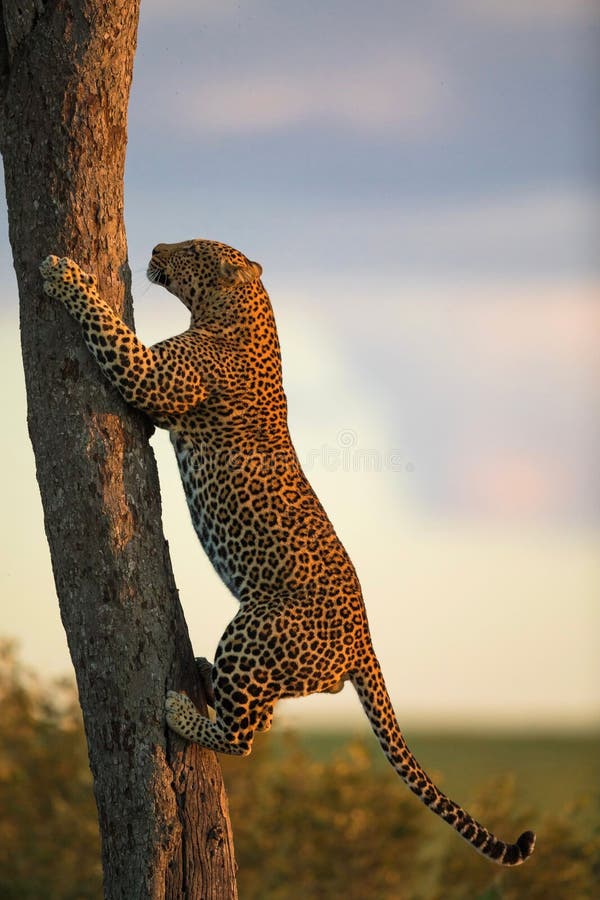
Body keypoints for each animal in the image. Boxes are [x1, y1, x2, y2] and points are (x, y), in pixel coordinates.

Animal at [40, 240, 535, 866]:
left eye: (193, 248)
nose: (154, 247)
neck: (237, 314)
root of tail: (363, 643)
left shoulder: (154, 379)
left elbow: (107, 325)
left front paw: (65, 275)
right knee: (263, 717)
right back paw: (202, 675)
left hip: (257, 628)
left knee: (245, 738)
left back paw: (182, 708)